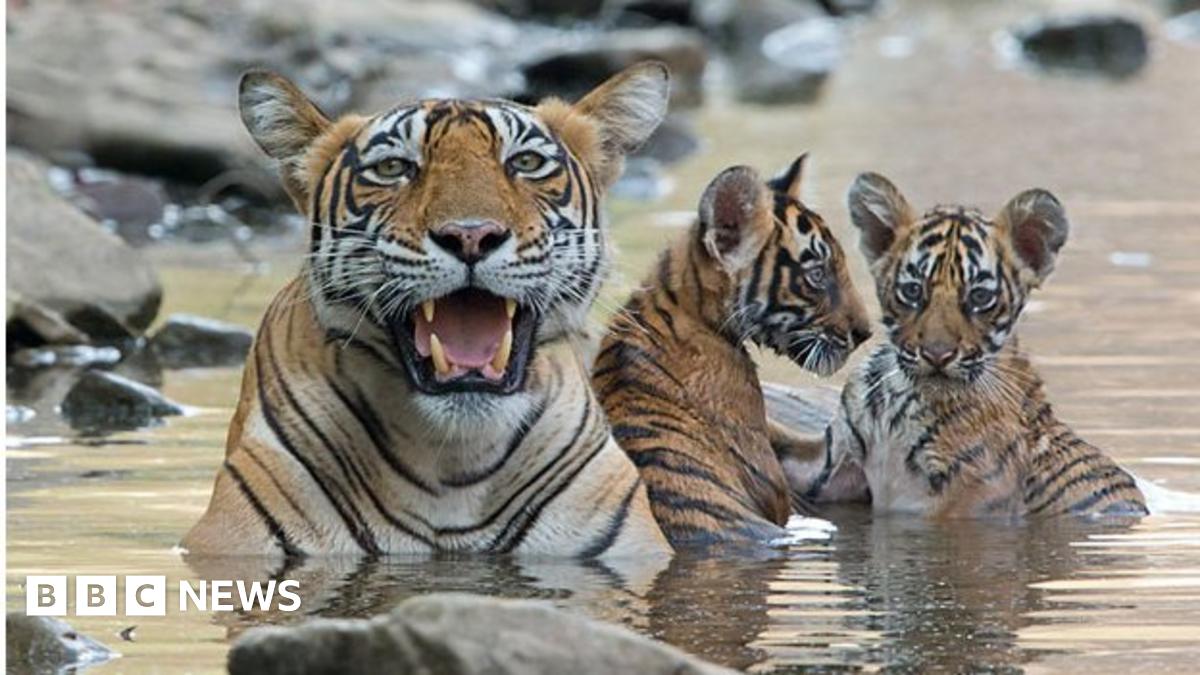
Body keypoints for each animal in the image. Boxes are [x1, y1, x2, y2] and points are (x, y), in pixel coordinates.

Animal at [782, 172, 1147, 519]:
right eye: (913, 290)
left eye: (980, 297)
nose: (937, 355)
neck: (899, 400)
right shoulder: (832, 462)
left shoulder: (968, 497)